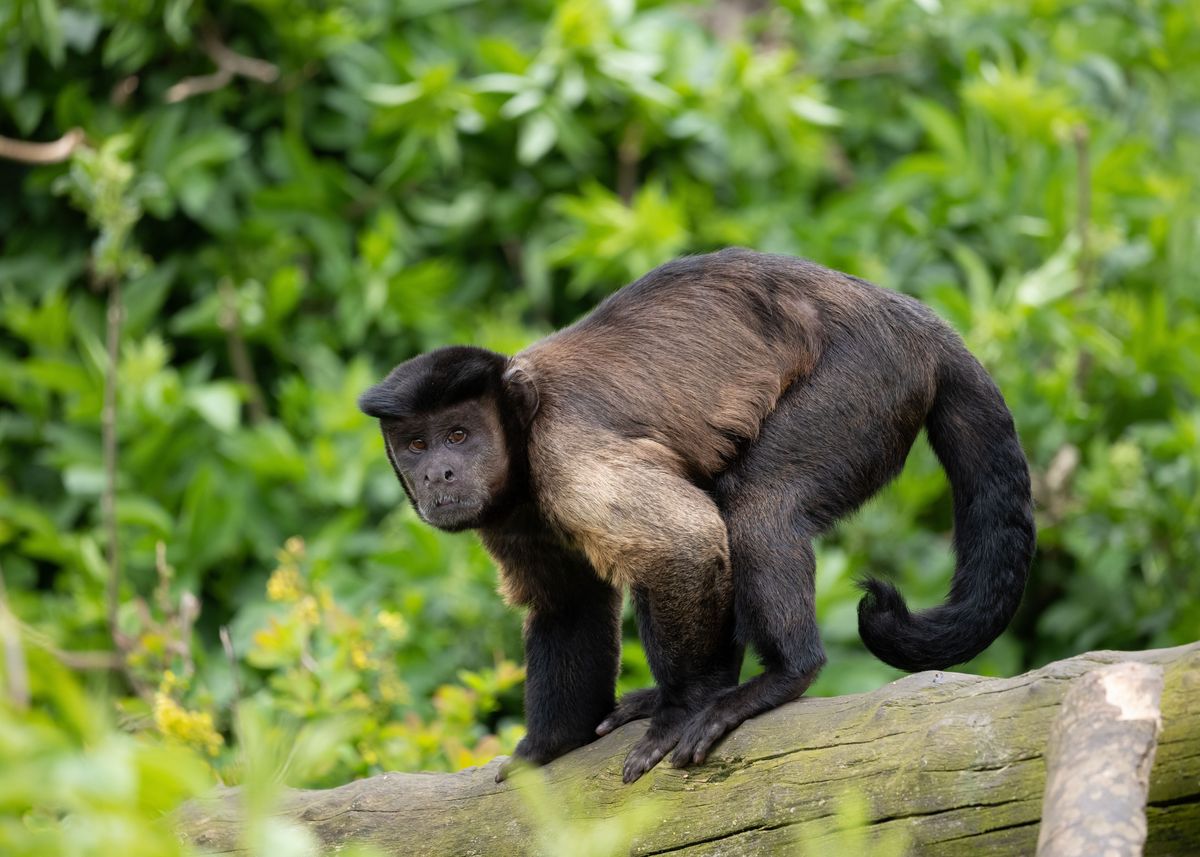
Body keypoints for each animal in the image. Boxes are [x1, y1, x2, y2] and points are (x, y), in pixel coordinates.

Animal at [358, 248, 1035, 784]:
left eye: (458, 434)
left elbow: (682, 545)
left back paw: (779, 677)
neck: (521, 441)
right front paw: (547, 748)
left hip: (868, 377)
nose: (438, 474)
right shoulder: (512, 513)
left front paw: (679, 713)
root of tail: (914, 319)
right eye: (416, 445)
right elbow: (568, 601)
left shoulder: (563, 451)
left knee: (757, 505)